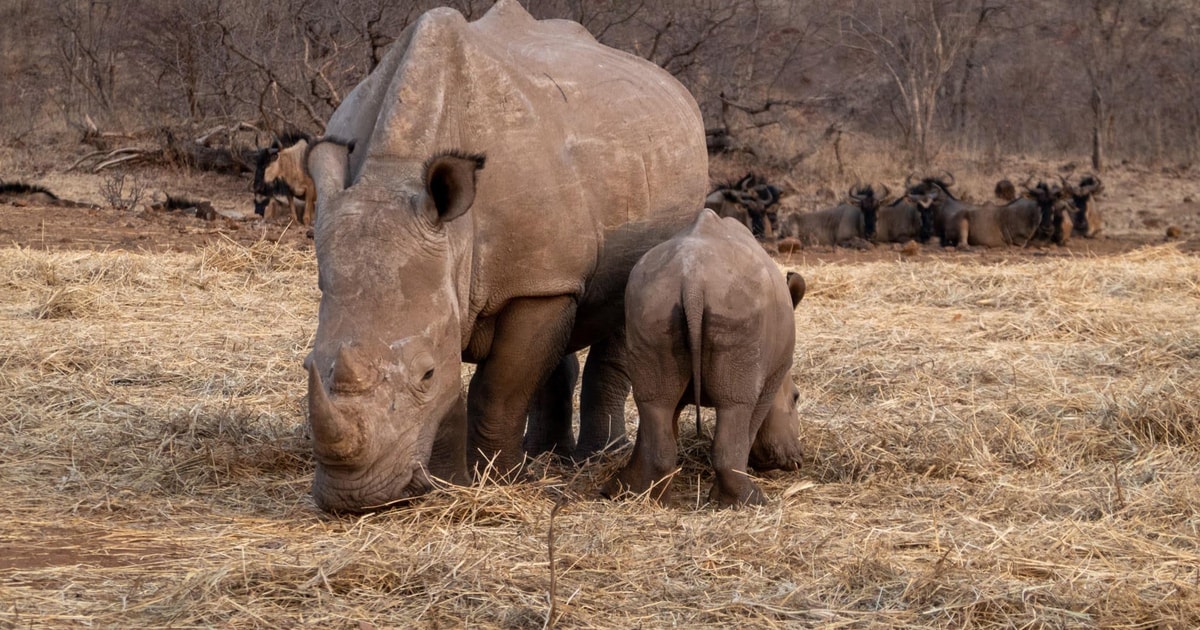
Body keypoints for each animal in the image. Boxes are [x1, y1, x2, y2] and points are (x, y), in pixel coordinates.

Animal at [301, 0, 708, 512]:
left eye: (425, 374)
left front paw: (495, 480)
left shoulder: (537, 285)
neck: (392, 173)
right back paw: (544, 455)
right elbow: (461, 391)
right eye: (309, 366)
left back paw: (592, 458)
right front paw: (450, 481)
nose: (352, 497)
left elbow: (500, 387)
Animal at [602, 209, 804, 507]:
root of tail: (693, 282)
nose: (797, 460)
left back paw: (647, 498)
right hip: (738, 306)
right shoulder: (771, 377)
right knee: (735, 406)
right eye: (796, 397)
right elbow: (749, 424)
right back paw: (749, 501)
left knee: (654, 403)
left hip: (651, 301)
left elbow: (663, 417)